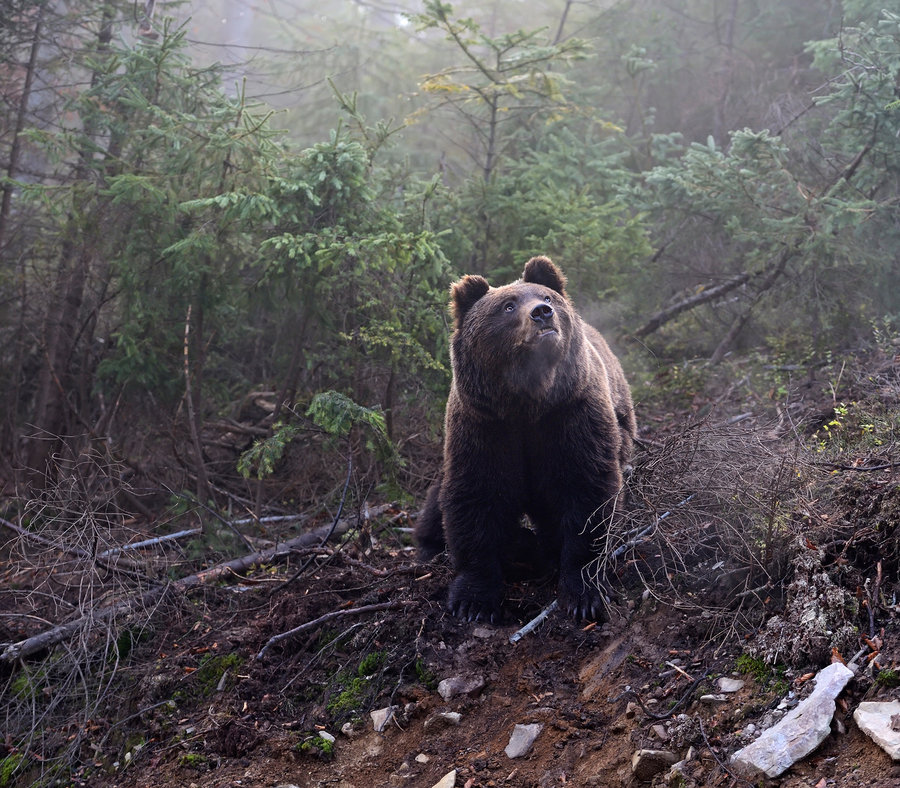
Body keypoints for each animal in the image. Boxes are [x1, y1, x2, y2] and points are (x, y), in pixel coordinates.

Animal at [415, 256, 636, 623]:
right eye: (507, 306)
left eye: (546, 297)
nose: (541, 313)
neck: (528, 403)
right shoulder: (486, 426)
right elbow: (476, 494)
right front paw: (473, 600)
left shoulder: (571, 414)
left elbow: (586, 490)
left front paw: (583, 593)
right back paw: (430, 546)